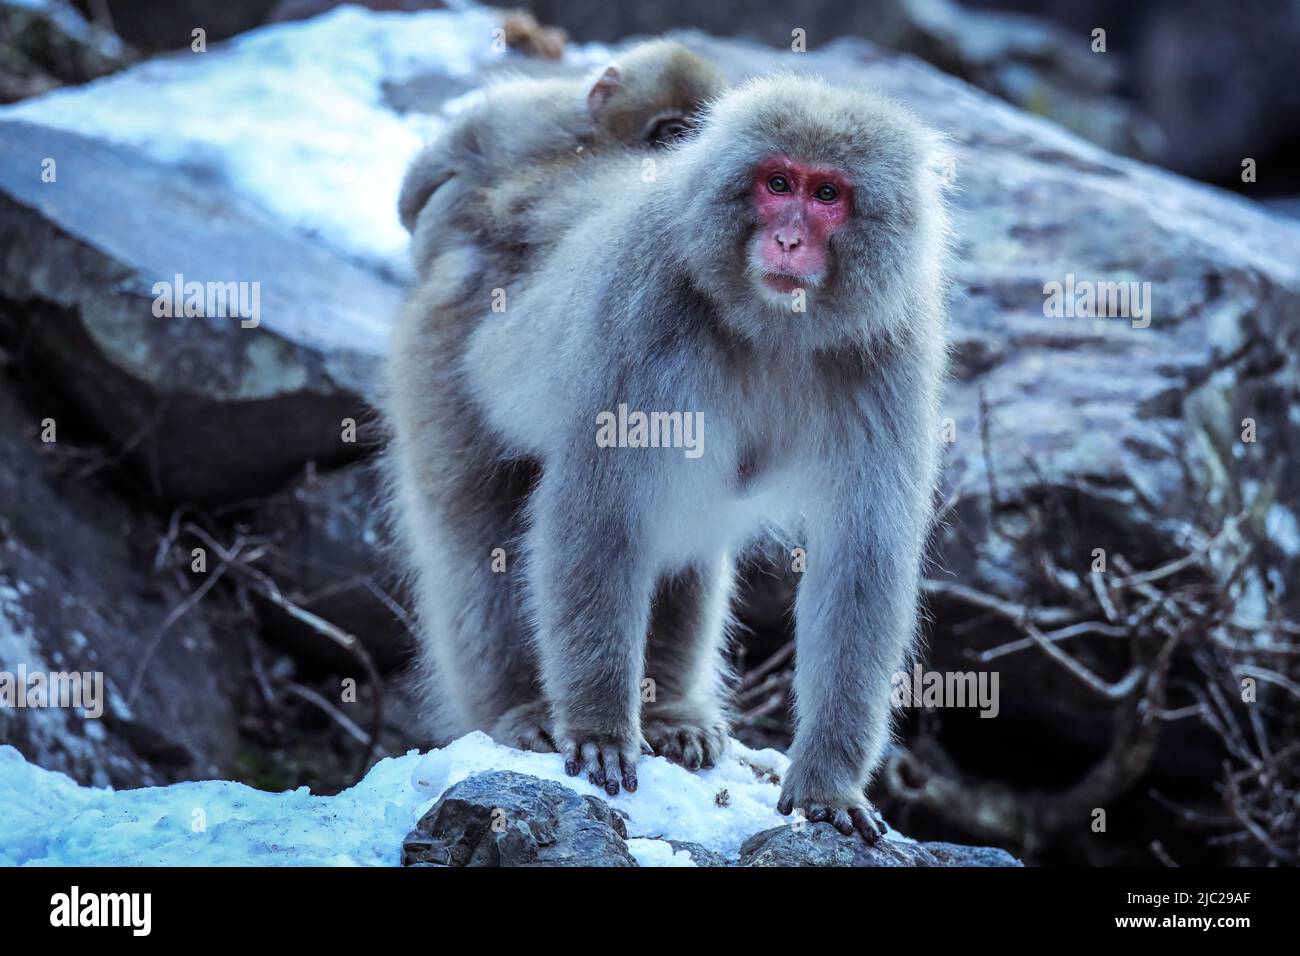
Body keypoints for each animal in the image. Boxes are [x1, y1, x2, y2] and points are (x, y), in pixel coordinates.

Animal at [430, 71, 953, 842]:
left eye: (827, 193)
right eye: (777, 182)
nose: (789, 239)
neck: (774, 327)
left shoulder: (892, 350)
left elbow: (863, 558)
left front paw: (828, 783)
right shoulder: (641, 307)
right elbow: (598, 514)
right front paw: (598, 727)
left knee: (689, 540)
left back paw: (672, 713)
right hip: (442, 357)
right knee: (475, 544)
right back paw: (519, 711)